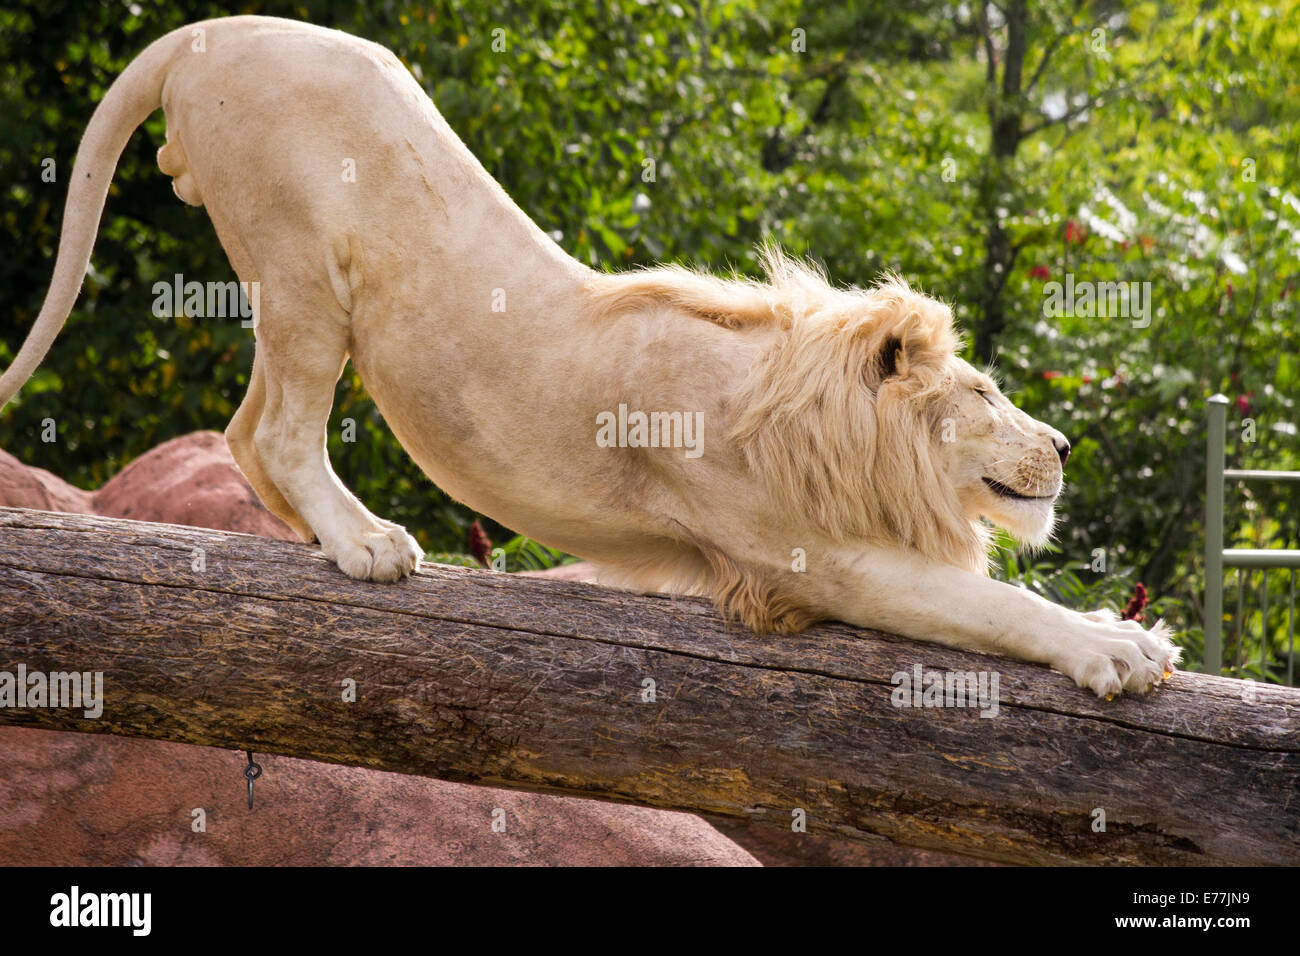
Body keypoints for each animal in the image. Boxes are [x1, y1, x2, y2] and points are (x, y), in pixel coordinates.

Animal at [0, 16, 1179, 698]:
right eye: (981, 390)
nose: (1063, 446)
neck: (807, 410)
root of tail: (208, 27)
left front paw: (1126, 634)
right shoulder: (803, 561)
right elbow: (993, 604)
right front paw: (1115, 650)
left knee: (245, 433)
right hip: (302, 270)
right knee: (282, 432)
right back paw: (367, 542)